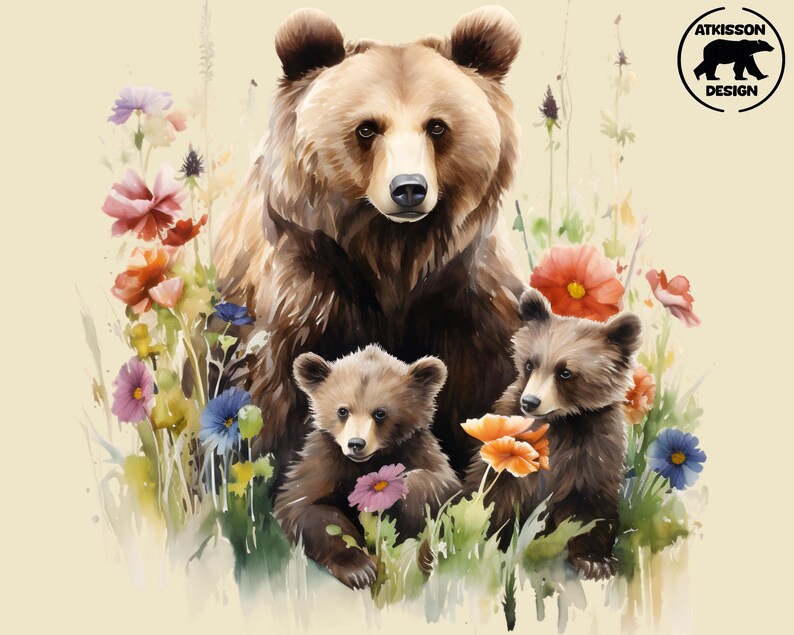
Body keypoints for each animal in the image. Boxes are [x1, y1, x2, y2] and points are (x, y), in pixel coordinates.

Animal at [213, 7, 525, 483]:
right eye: (366, 128)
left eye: (437, 126)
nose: (409, 188)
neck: (392, 252)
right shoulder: (301, 295)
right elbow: (273, 401)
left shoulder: (467, 295)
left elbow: (488, 392)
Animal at [273, 344, 459, 589]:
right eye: (343, 410)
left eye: (380, 413)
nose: (356, 444)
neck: (369, 462)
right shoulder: (324, 460)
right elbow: (306, 507)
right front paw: (359, 569)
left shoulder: (418, 449)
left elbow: (443, 485)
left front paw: (404, 491)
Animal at [461, 288, 642, 580]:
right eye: (530, 364)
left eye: (565, 372)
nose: (530, 402)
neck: (560, 422)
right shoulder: (515, 438)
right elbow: (496, 490)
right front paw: (488, 540)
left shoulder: (596, 447)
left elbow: (590, 504)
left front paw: (595, 561)